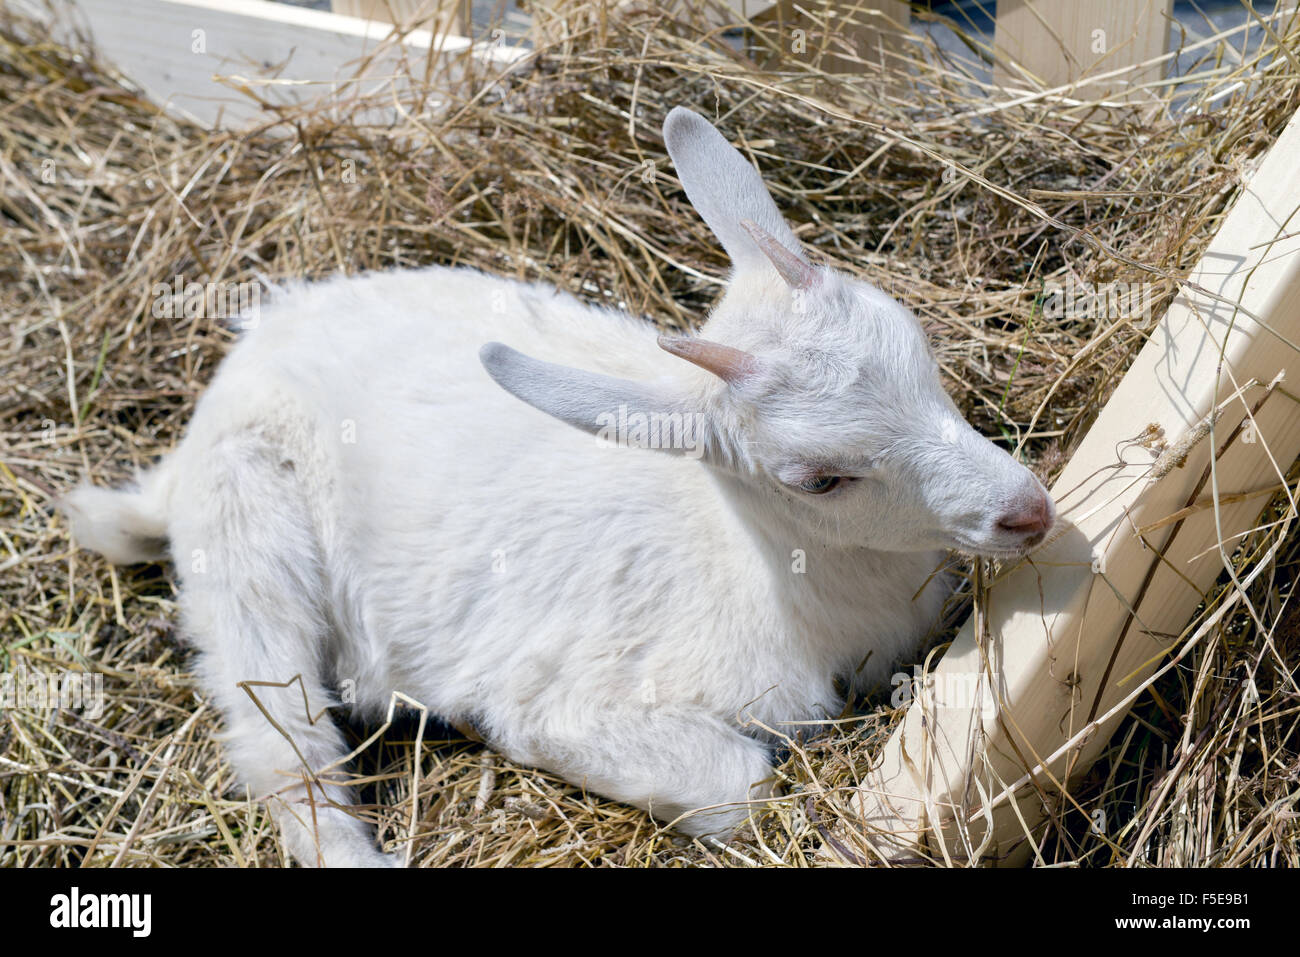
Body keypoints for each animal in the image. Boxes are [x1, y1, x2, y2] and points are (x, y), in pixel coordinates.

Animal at [62, 107, 1055, 866]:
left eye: (919, 345)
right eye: (818, 478)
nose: (1029, 510)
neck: (774, 582)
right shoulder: (566, 701)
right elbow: (739, 782)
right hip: (247, 535)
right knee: (278, 740)